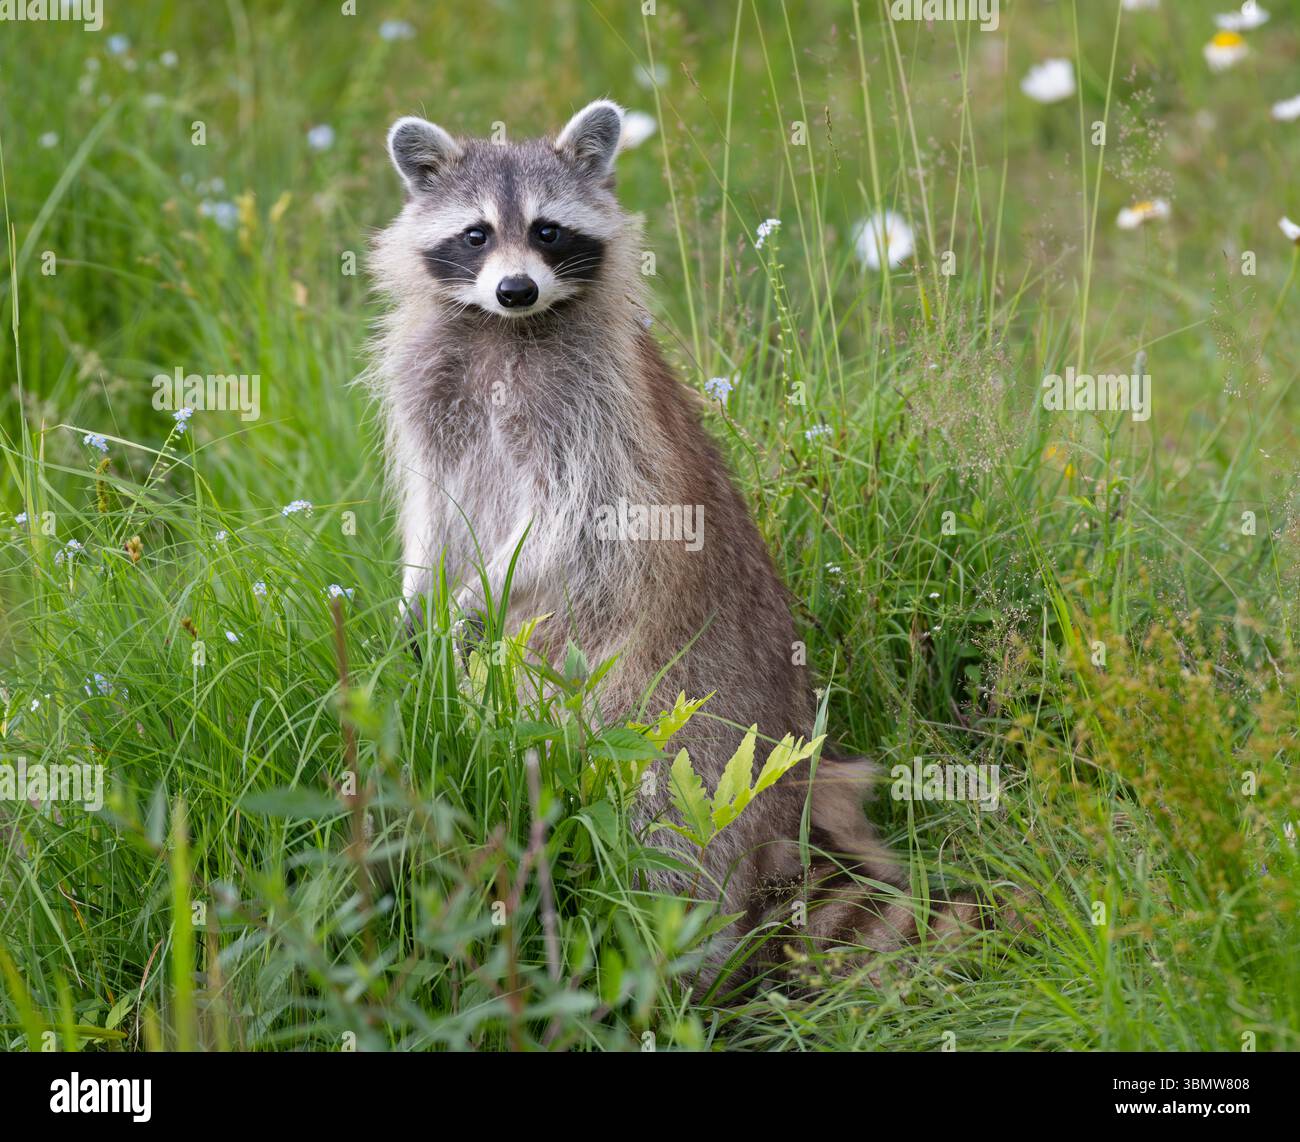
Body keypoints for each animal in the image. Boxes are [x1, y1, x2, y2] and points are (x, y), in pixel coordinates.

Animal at [368, 101, 943, 982]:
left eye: (547, 231)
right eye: (474, 234)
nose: (515, 288)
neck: (504, 331)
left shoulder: (596, 413)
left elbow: (565, 522)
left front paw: (473, 594)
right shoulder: (431, 387)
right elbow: (433, 514)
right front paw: (418, 593)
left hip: (685, 723)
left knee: (669, 833)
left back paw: (689, 964)